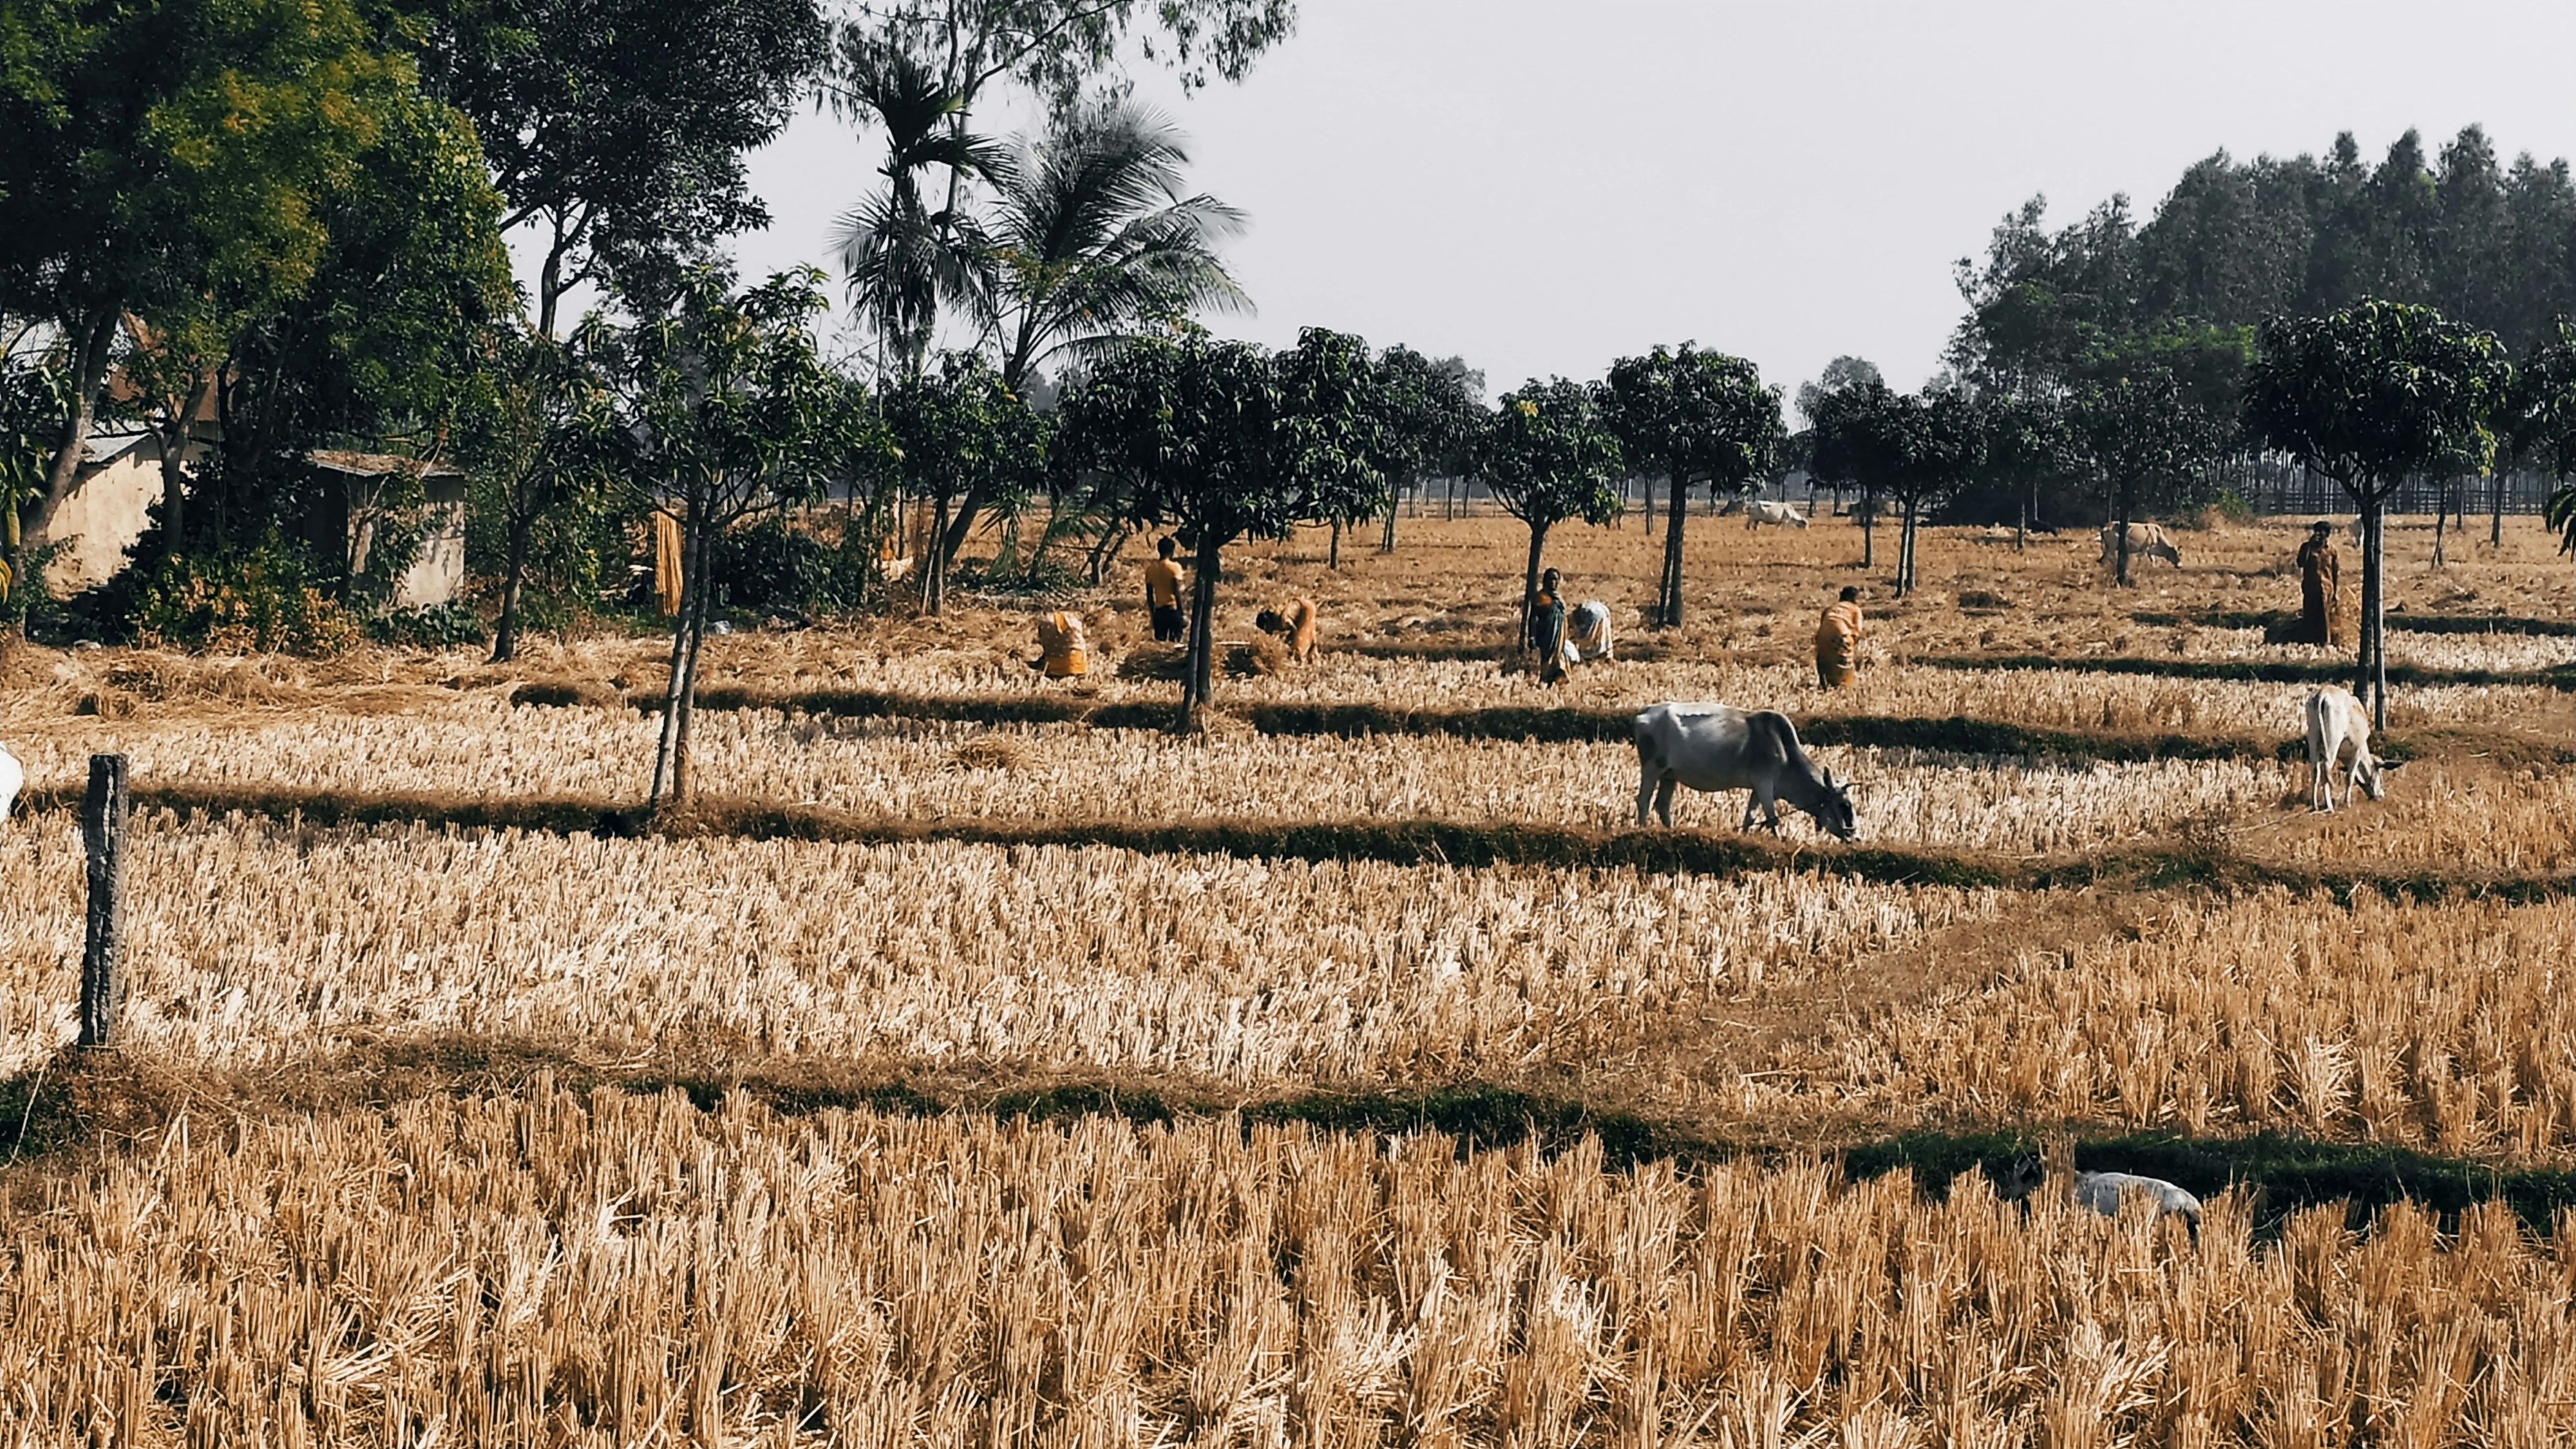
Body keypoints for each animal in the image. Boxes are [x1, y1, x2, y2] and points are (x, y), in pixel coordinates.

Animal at [1633, 702, 1856, 838]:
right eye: (1844, 805)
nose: (1855, 835)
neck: (1786, 755)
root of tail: (1643, 713)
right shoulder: (1764, 783)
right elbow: (1772, 818)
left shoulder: (1758, 788)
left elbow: (1751, 817)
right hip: (1652, 768)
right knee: (1643, 800)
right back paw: (1642, 829)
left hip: (1670, 776)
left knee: (1663, 805)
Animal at [2097, 522, 2183, 567]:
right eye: (2175, 553)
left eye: (2180, 554)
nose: (2180, 565)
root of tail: (2105, 528)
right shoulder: (2145, 548)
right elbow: (2139, 559)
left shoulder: (2150, 552)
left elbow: (2153, 561)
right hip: (2113, 546)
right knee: (2110, 556)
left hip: (2107, 546)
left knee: (2104, 557)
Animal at [2304, 685, 2384, 811]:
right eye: (2380, 773)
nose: (2380, 795)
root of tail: (2323, 693)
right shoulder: (2358, 750)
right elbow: (2350, 776)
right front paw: (2348, 802)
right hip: (2334, 740)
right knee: (2327, 766)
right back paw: (2330, 806)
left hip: (2313, 738)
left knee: (2315, 770)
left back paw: (2315, 805)